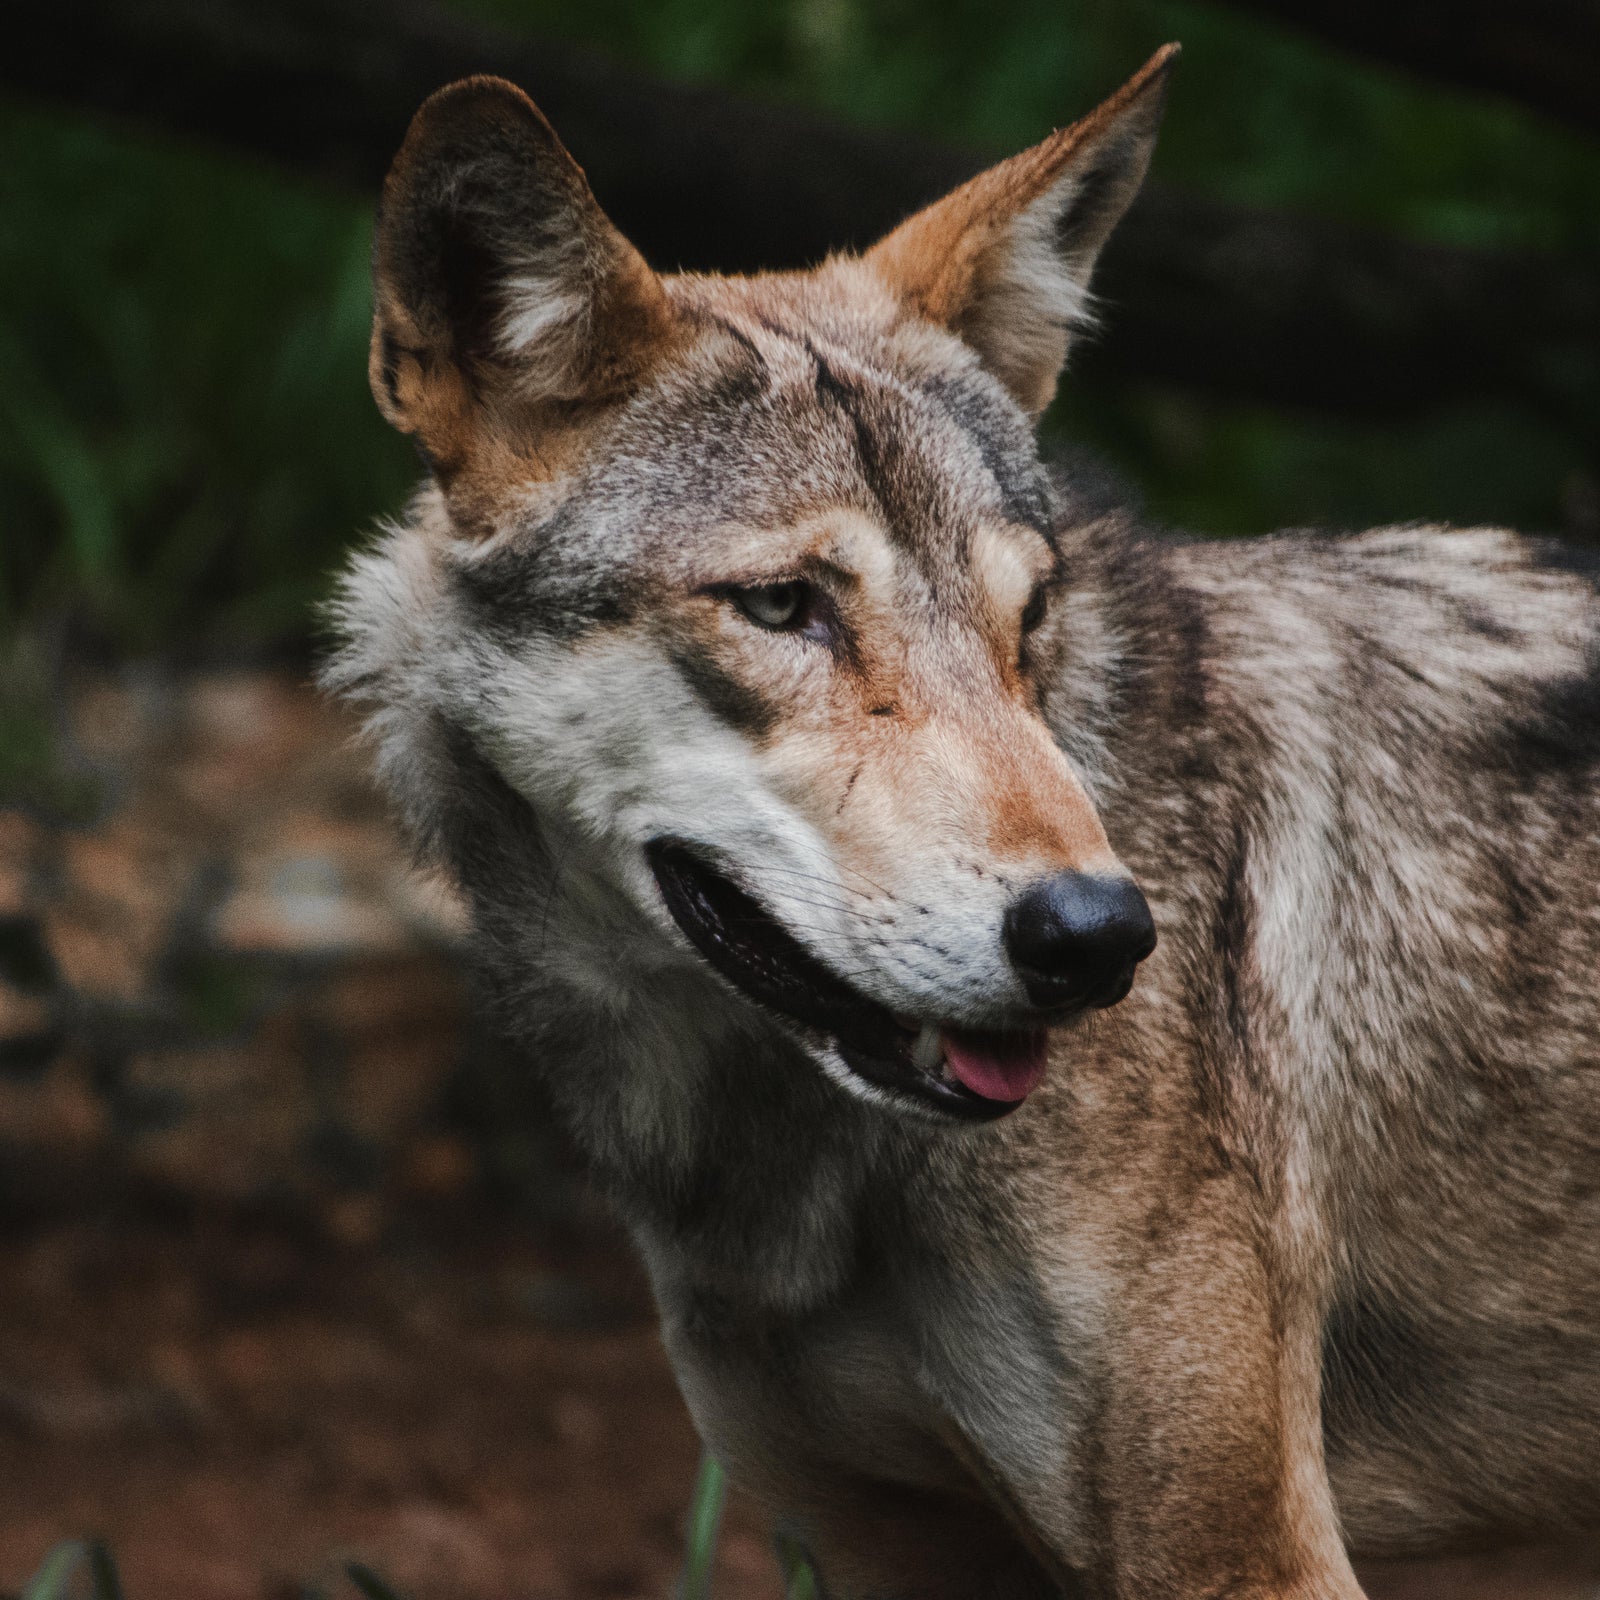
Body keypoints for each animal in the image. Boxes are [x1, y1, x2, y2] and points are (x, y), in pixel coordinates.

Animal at [327, 44, 1600, 1598]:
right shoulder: (877, 1543)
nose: (1099, 939)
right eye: (784, 606)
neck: (801, 1171)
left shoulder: (1243, 1558)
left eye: (1028, 616)